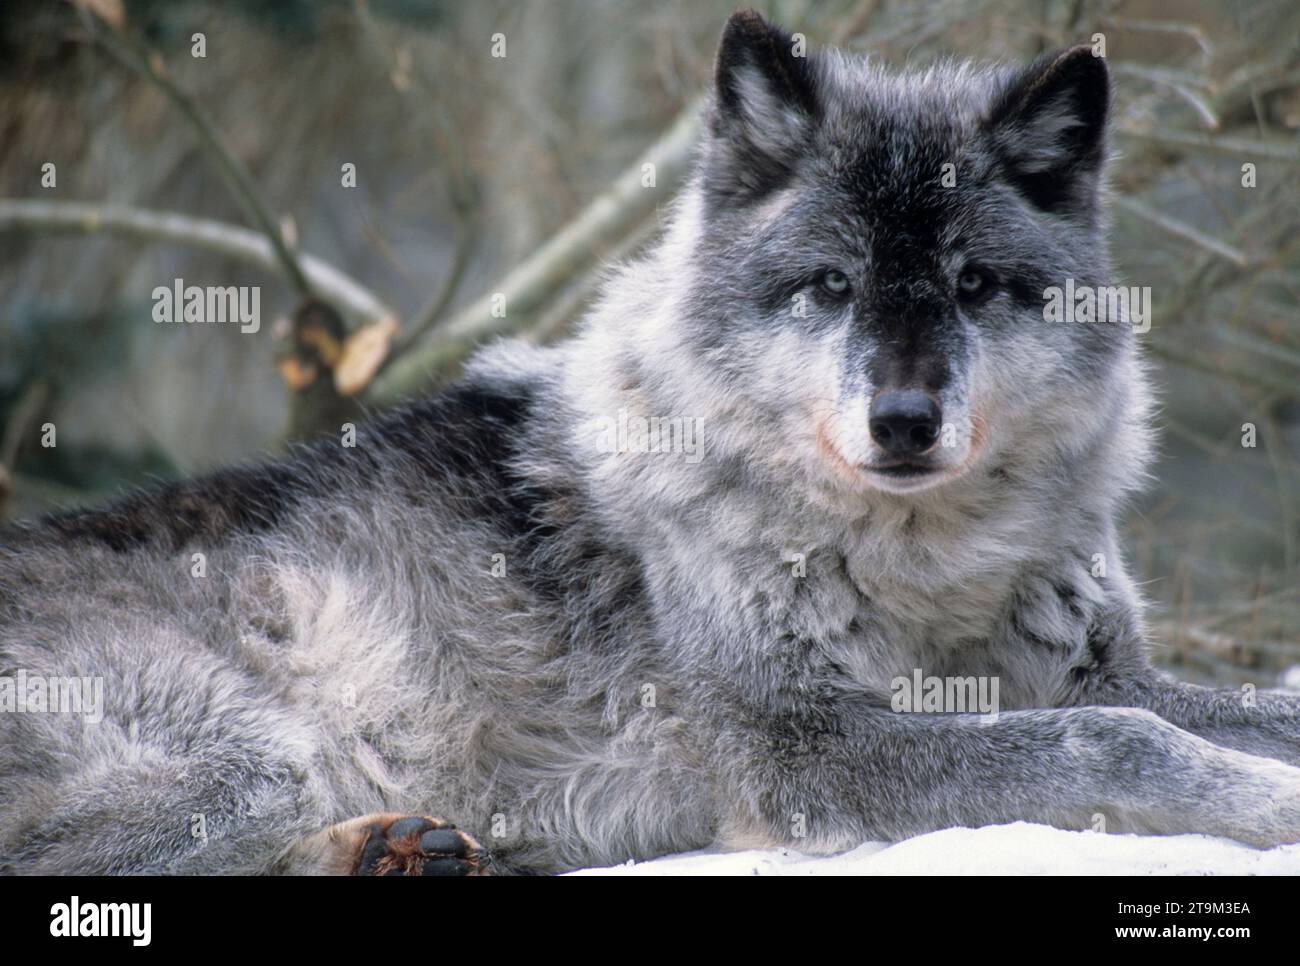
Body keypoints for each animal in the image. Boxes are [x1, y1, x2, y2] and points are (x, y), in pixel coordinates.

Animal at [3, 10, 1300, 875]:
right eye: (830, 285)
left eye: (973, 283)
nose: (902, 421)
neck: (928, 560)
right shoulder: (805, 753)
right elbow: (1112, 744)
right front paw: (1265, 804)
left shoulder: (1104, 666)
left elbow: (1221, 704)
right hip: (256, 759)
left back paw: (395, 849)